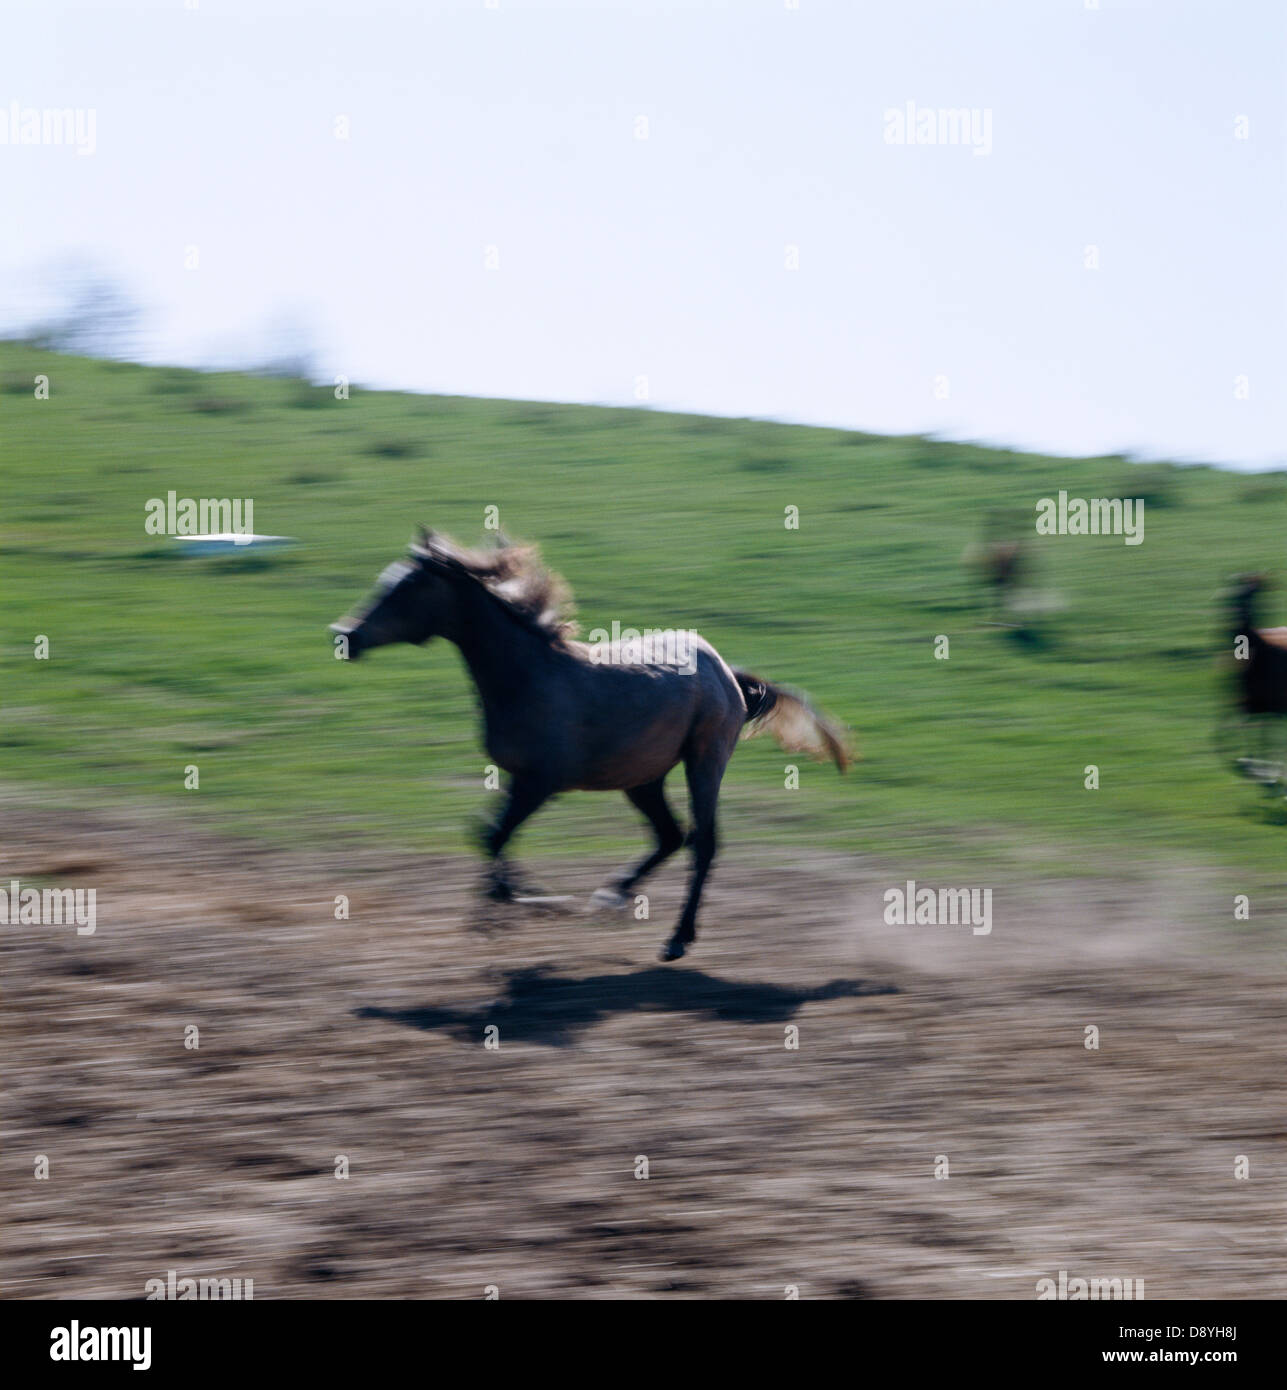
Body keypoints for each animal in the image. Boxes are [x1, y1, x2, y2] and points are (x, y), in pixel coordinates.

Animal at [330, 527, 851, 961]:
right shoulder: (518, 778)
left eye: (405, 588)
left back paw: (676, 939)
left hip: (704, 761)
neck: (529, 675)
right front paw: (521, 900)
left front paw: (520, 907)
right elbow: (487, 836)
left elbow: (494, 836)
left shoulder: (540, 782)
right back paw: (611, 898)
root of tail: (726, 670)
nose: (345, 636)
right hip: (643, 779)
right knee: (669, 835)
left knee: (702, 842)